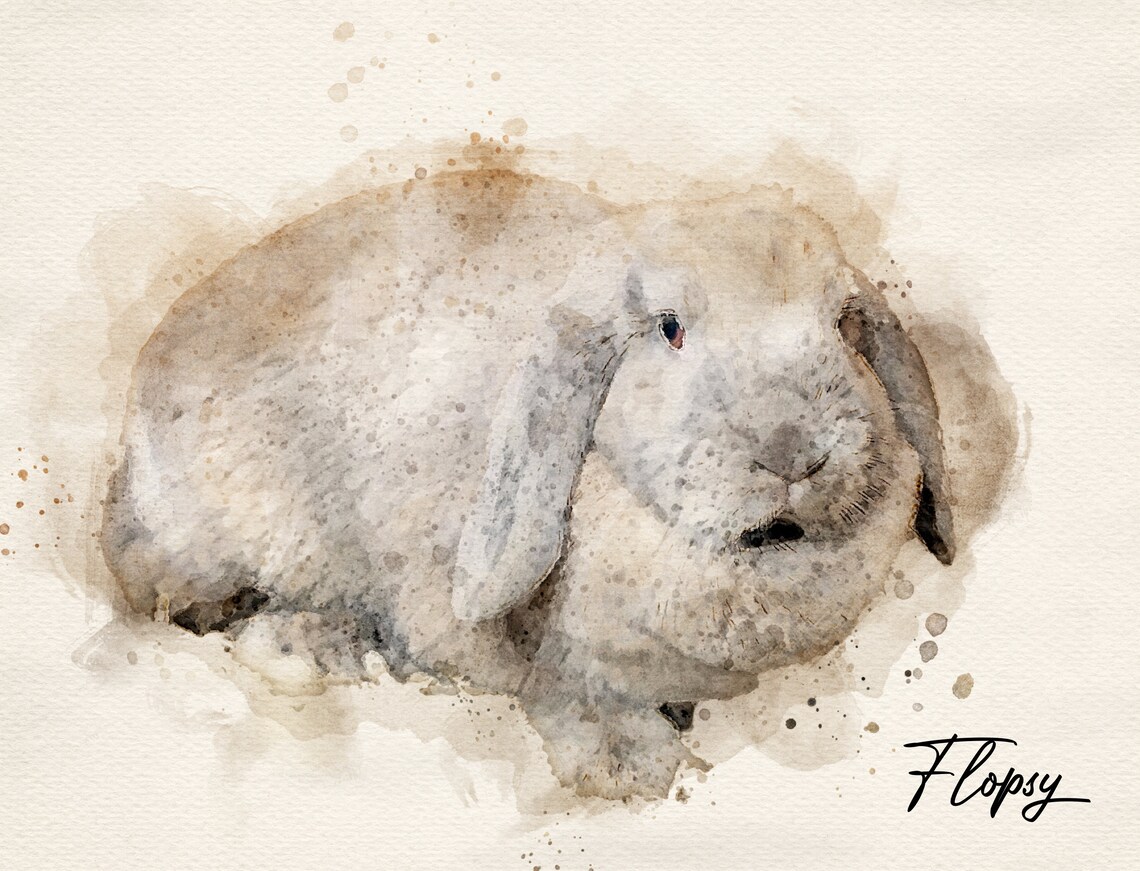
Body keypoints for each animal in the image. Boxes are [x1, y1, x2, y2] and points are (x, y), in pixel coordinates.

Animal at [102, 167, 956, 800]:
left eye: (845, 326)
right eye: (670, 327)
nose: (794, 454)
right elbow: (560, 684)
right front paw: (627, 765)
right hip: (223, 533)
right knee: (186, 601)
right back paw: (312, 643)